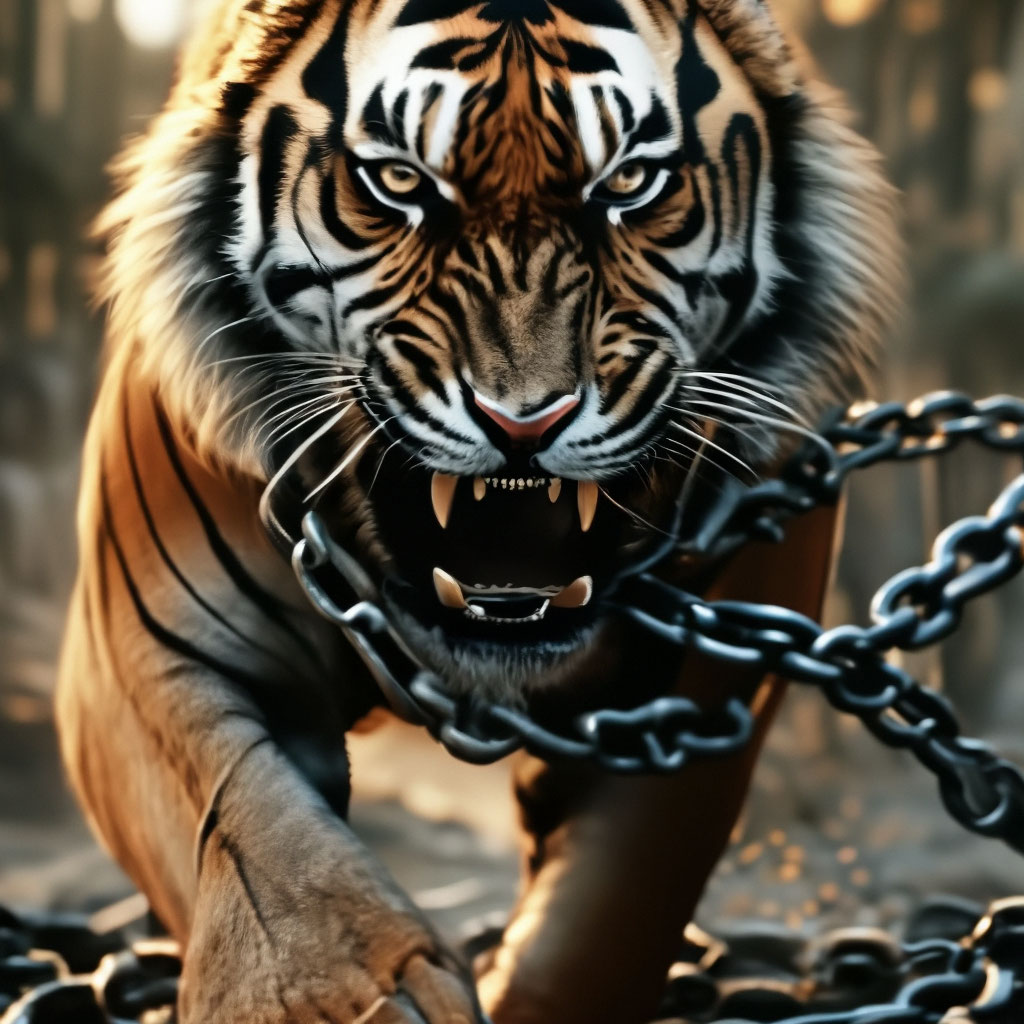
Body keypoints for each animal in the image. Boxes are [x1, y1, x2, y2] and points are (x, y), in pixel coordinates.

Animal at [55, 1, 901, 1022]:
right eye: (398, 182)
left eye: (630, 183)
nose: (523, 418)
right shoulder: (142, 657)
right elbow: (259, 838)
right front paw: (335, 994)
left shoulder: (696, 693)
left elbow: (607, 920)